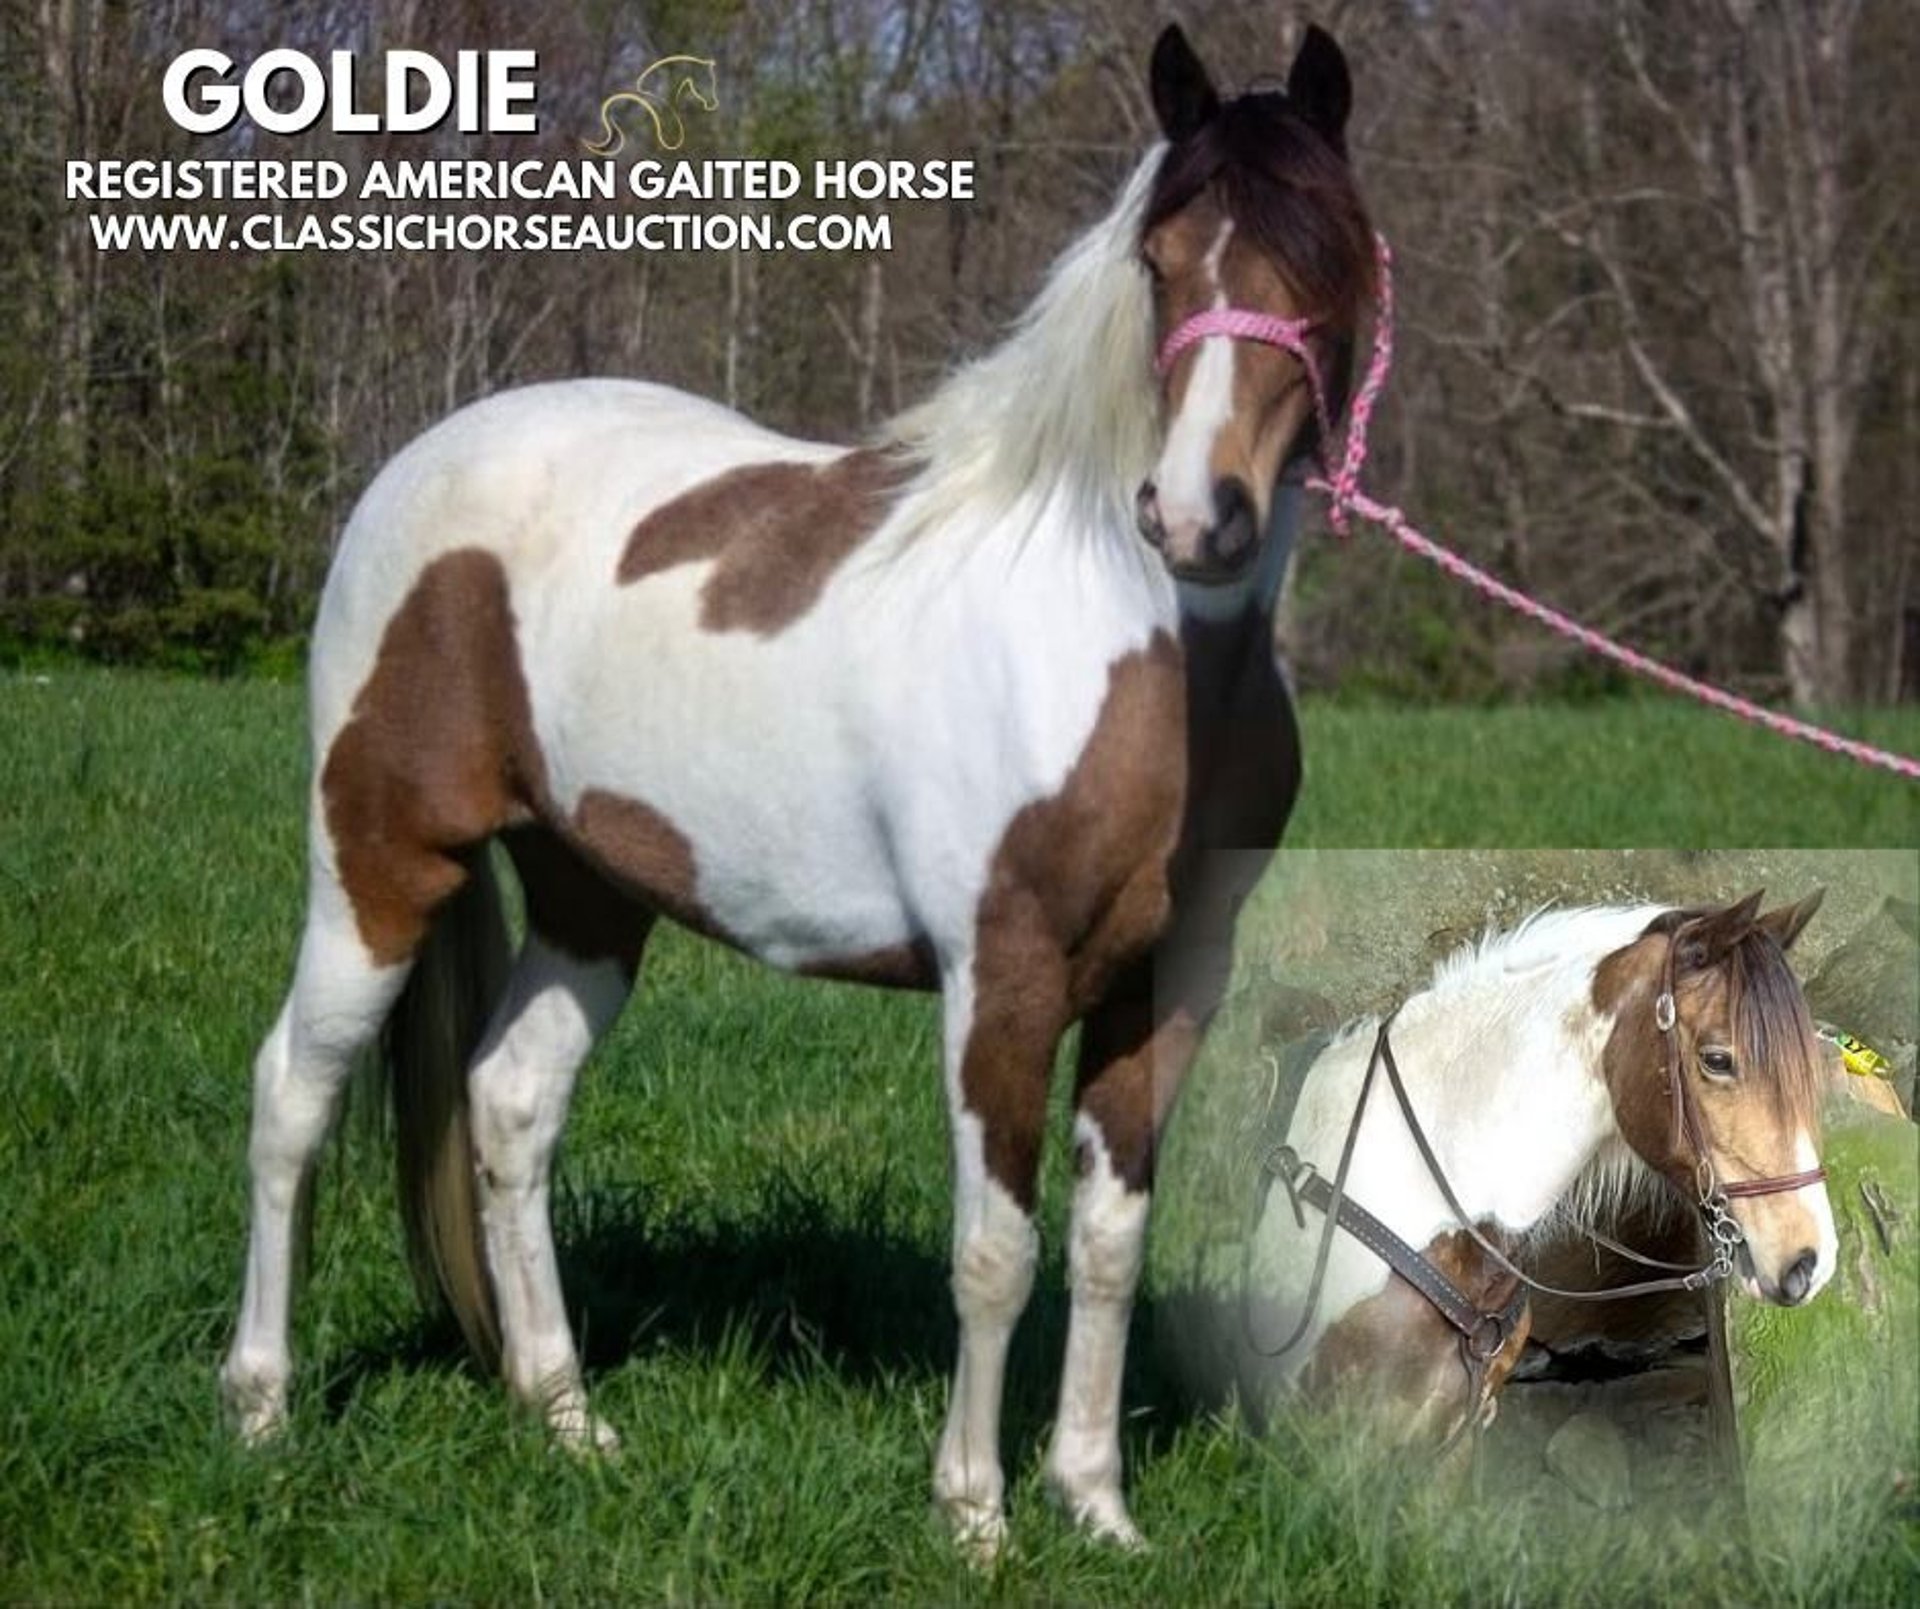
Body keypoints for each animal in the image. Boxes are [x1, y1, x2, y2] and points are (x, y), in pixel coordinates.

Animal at [218, 23, 1376, 1556]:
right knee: (292, 1095)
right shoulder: (999, 978)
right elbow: (996, 1252)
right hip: (378, 865)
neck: (1141, 646)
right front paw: (976, 1517)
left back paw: (567, 1418)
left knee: (512, 1101)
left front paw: (1095, 1506)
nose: (1197, 517)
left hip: (593, 893)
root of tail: (416, 467)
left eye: (1333, 256)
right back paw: (262, 1411)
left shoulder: (1170, 979)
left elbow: (1108, 1241)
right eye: (1162, 259)